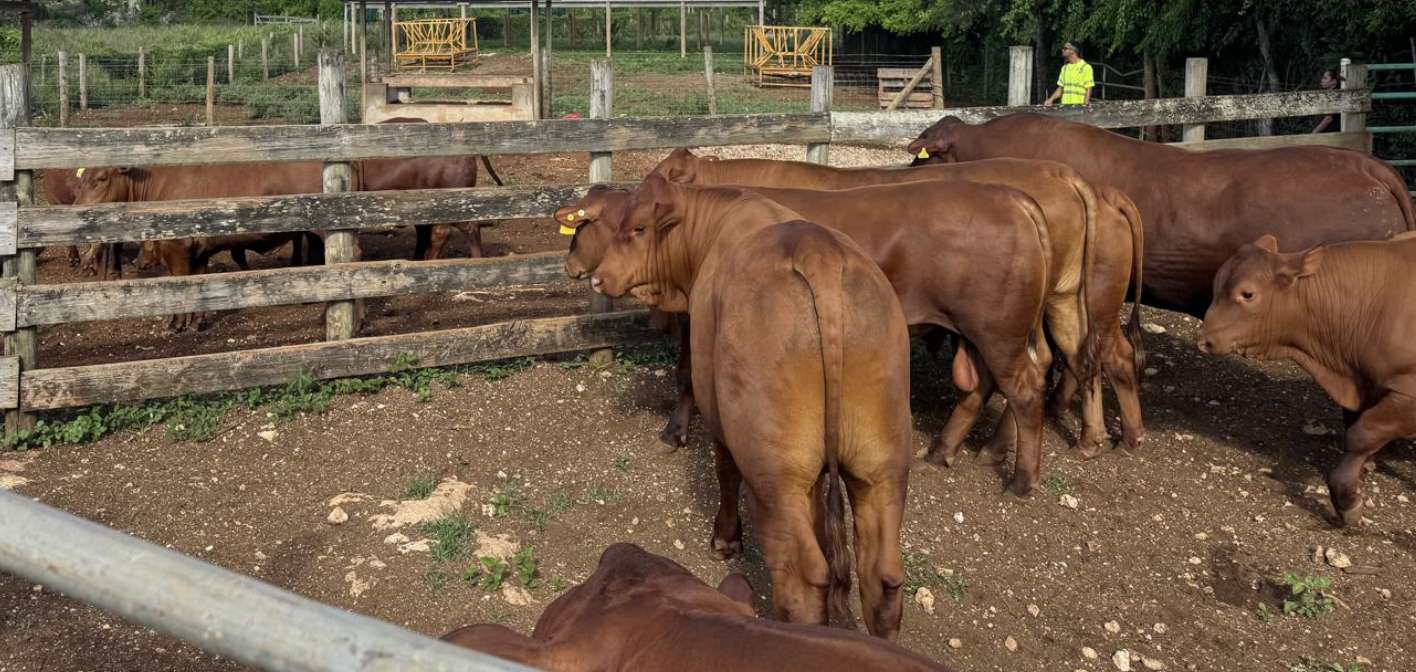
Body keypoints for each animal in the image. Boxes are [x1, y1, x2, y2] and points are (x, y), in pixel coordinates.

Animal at [587, 174, 914, 637]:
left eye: (637, 228)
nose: (598, 279)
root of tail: (818, 252)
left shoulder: (717, 408)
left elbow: (724, 471)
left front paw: (725, 539)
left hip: (775, 472)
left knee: (804, 578)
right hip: (881, 464)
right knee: (882, 577)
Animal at [646, 148, 1147, 456]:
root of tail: (1069, 177)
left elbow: (687, 373)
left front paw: (674, 432)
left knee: (1069, 361)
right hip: (1063, 300)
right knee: (1076, 357)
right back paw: (1089, 437)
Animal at [1198, 233, 1416, 527]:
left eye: (1248, 294)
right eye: (1215, 284)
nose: (1206, 340)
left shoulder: (1408, 394)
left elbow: (1362, 433)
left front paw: (1345, 496)